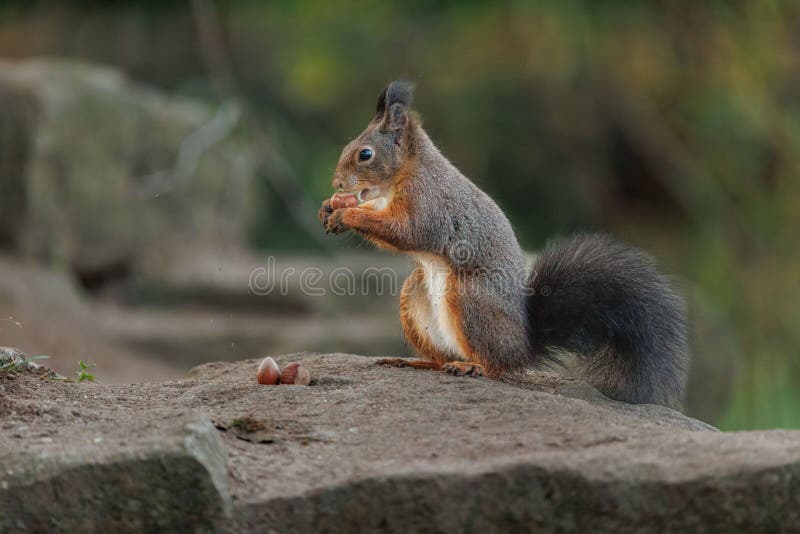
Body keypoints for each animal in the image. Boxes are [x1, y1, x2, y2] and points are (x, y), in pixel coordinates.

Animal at [319, 81, 688, 409]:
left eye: (365, 154)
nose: (337, 183)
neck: (408, 170)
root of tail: (522, 346)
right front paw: (331, 207)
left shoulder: (429, 202)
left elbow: (408, 232)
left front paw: (347, 214)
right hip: (415, 295)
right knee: (442, 358)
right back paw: (418, 362)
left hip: (468, 297)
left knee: (496, 367)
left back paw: (473, 366)